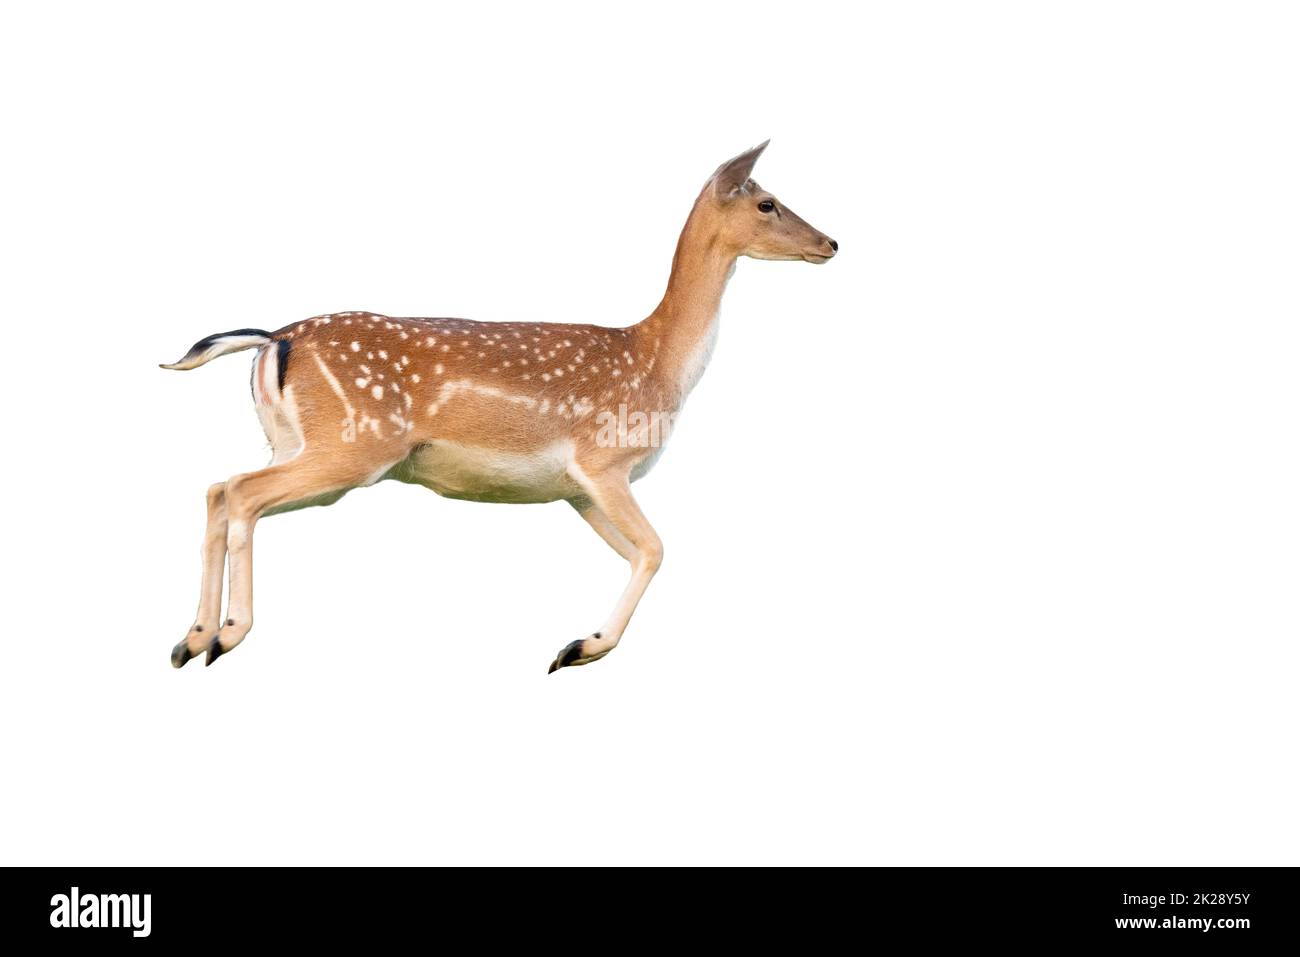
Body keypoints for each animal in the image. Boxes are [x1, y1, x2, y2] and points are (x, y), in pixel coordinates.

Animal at [162, 140, 837, 674]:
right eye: (767, 202)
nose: (831, 241)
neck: (658, 361)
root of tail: (274, 338)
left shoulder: (575, 490)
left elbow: (635, 553)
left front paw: (578, 645)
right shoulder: (603, 460)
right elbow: (656, 549)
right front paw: (583, 647)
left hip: (295, 441)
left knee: (219, 489)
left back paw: (189, 639)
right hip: (355, 442)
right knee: (239, 489)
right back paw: (227, 634)